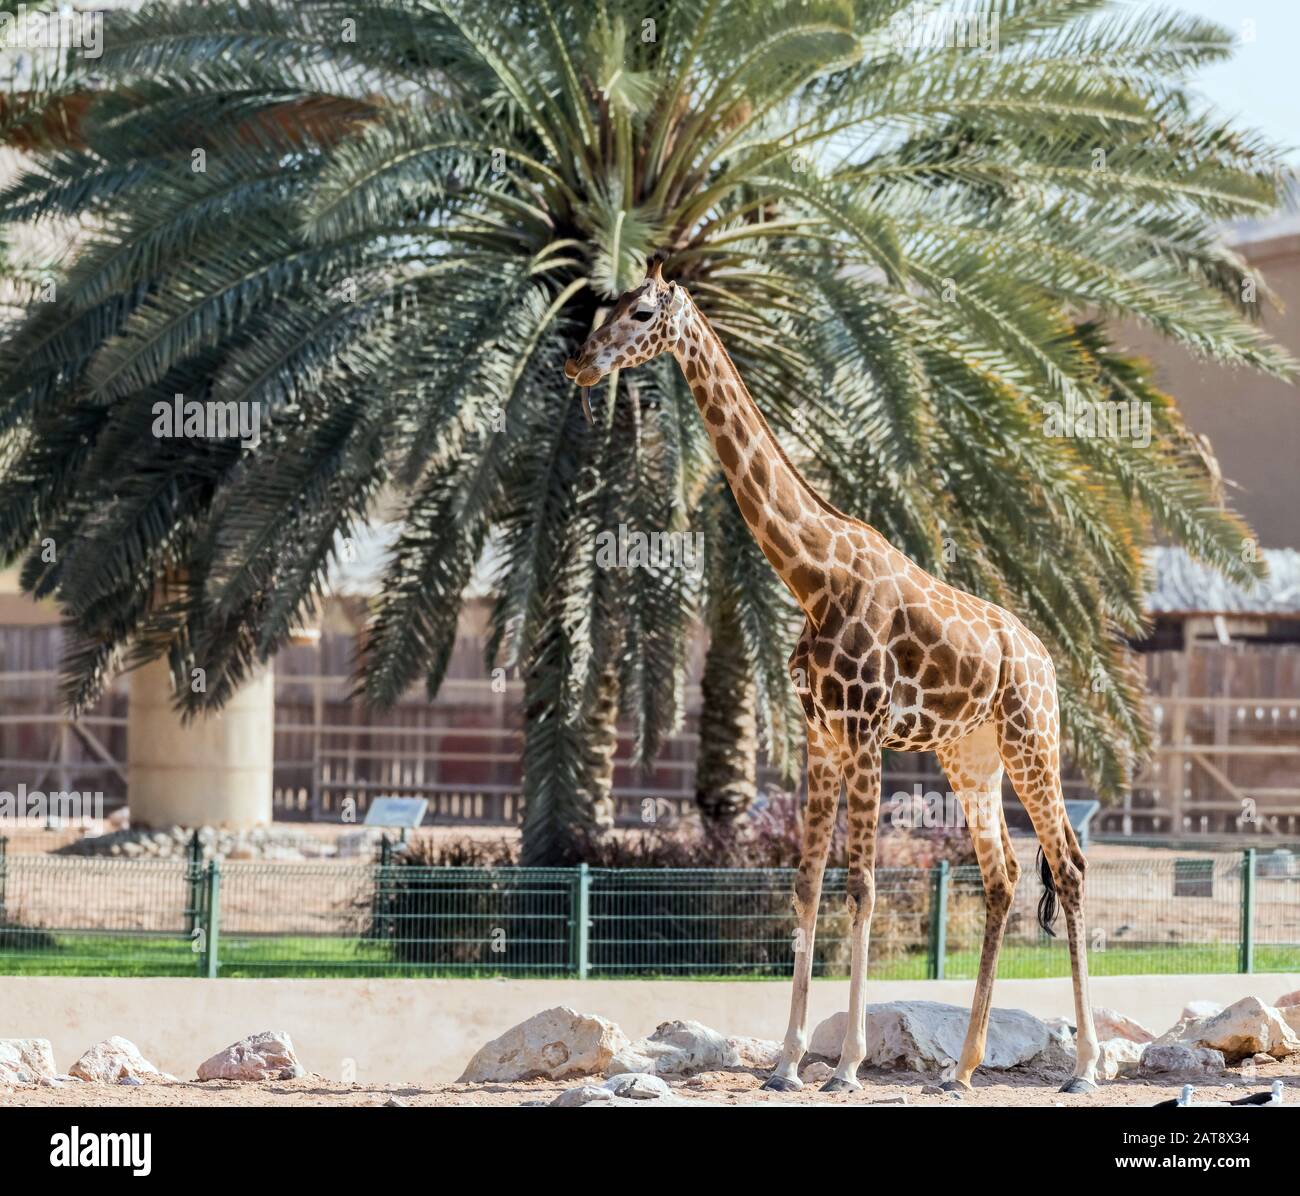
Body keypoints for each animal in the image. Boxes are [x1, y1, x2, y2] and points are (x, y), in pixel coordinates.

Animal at [563, 260, 1101, 1096]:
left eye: (643, 312)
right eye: (607, 304)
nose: (579, 364)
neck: (811, 574)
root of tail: (1044, 656)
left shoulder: (865, 731)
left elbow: (863, 887)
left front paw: (845, 1065)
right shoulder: (819, 736)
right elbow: (807, 883)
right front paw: (785, 1064)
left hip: (1030, 739)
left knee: (1069, 866)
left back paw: (1083, 1066)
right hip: (969, 754)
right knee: (1005, 873)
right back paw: (962, 1070)